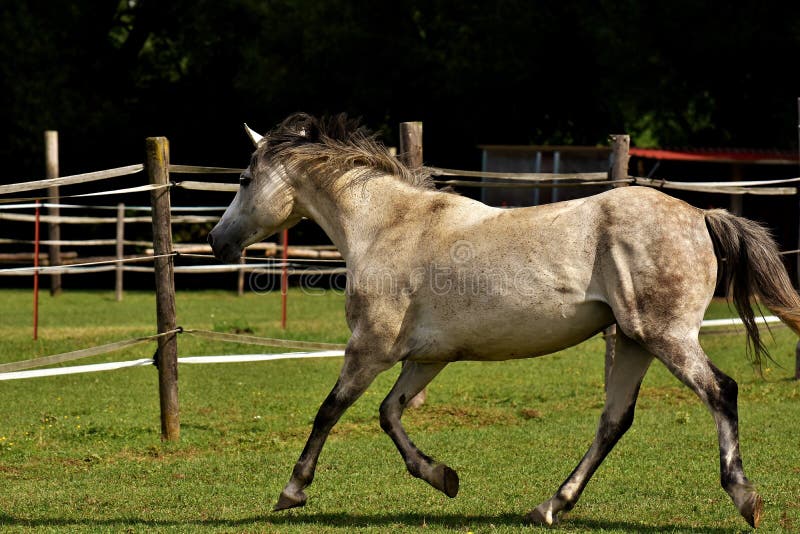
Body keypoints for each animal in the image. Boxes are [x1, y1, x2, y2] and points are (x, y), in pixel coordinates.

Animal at [208, 113, 800, 528]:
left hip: (666, 337)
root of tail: (700, 215)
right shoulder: (427, 359)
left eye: (243, 178)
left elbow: (330, 412)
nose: (217, 241)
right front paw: (443, 477)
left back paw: (745, 497)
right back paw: (550, 506)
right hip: (635, 341)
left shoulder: (369, 348)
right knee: (614, 421)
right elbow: (389, 414)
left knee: (721, 391)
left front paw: (292, 491)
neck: (388, 227)